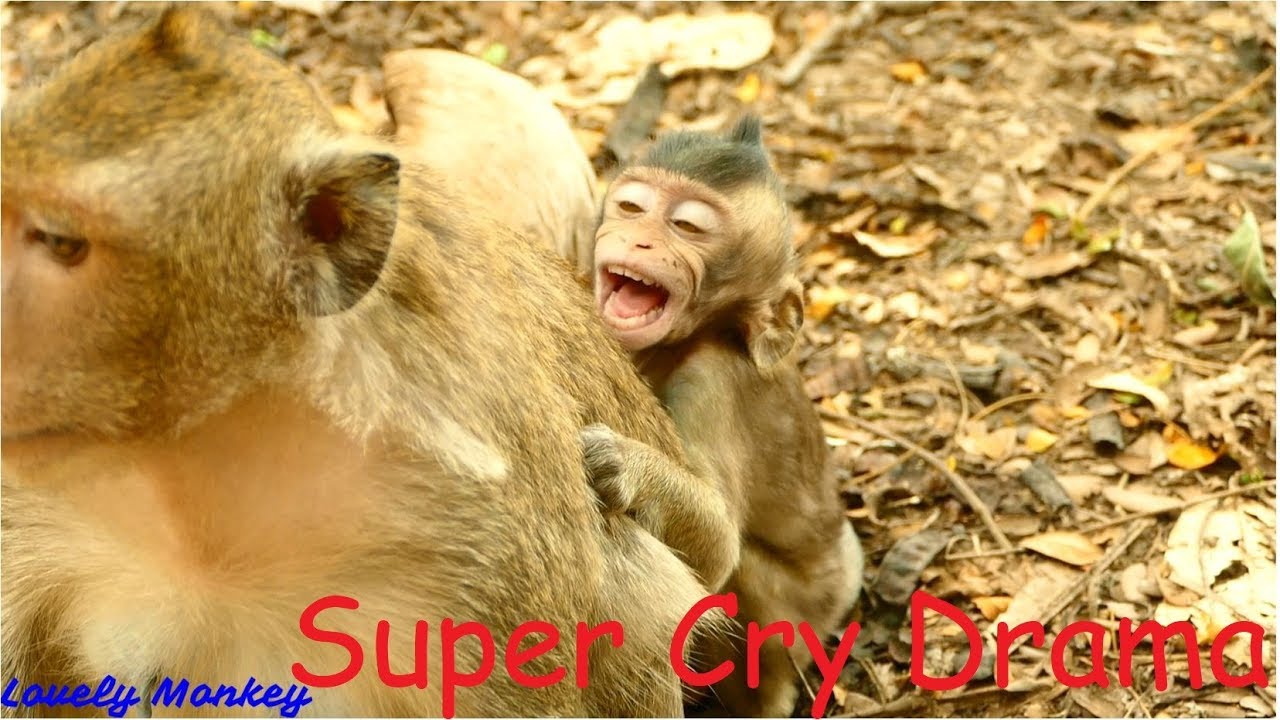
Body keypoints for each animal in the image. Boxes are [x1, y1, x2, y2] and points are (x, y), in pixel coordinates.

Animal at [578, 116, 865, 717]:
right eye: (632, 208)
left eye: (687, 226)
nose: (639, 238)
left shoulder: (711, 384)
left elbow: (717, 552)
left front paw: (622, 466)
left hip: (807, 613)